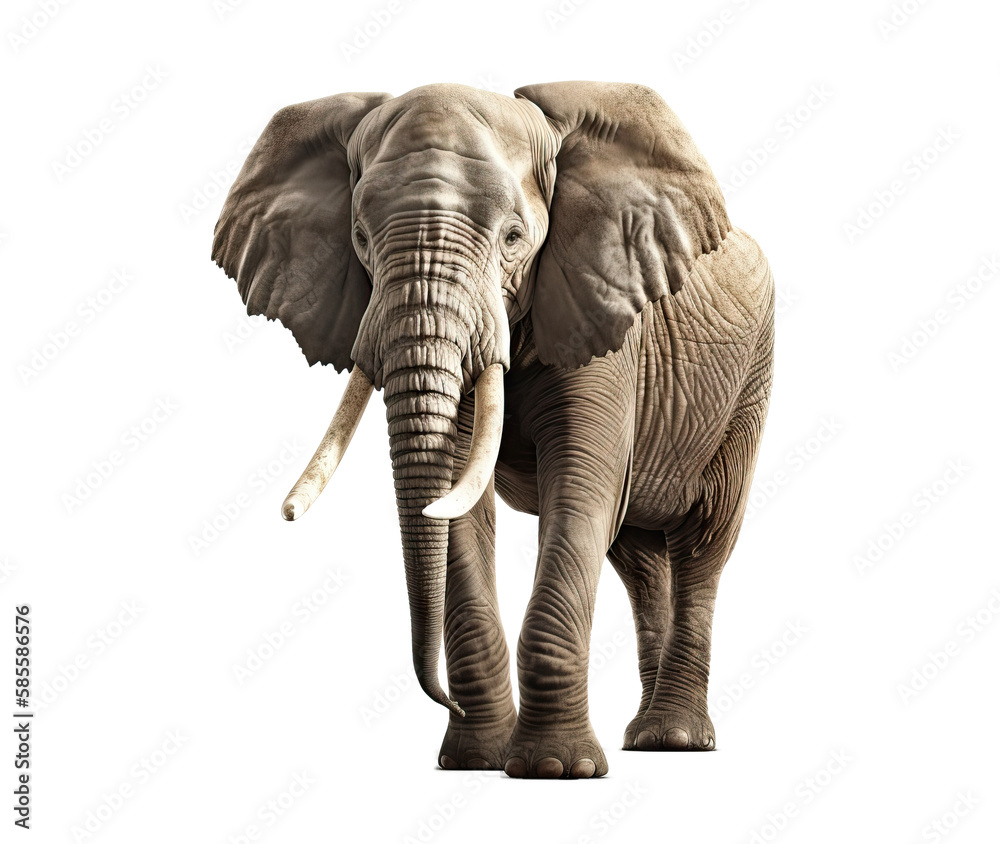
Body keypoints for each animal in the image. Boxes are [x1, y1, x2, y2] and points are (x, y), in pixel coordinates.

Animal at [212, 81, 774, 779]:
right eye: (360, 238)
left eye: (514, 237)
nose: (439, 697)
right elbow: (456, 497)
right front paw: (477, 760)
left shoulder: (601, 311)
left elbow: (579, 487)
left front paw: (555, 769)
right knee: (638, 560)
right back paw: (641, 737)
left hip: (748, 385)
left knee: (703, 544)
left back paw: (673, 741)